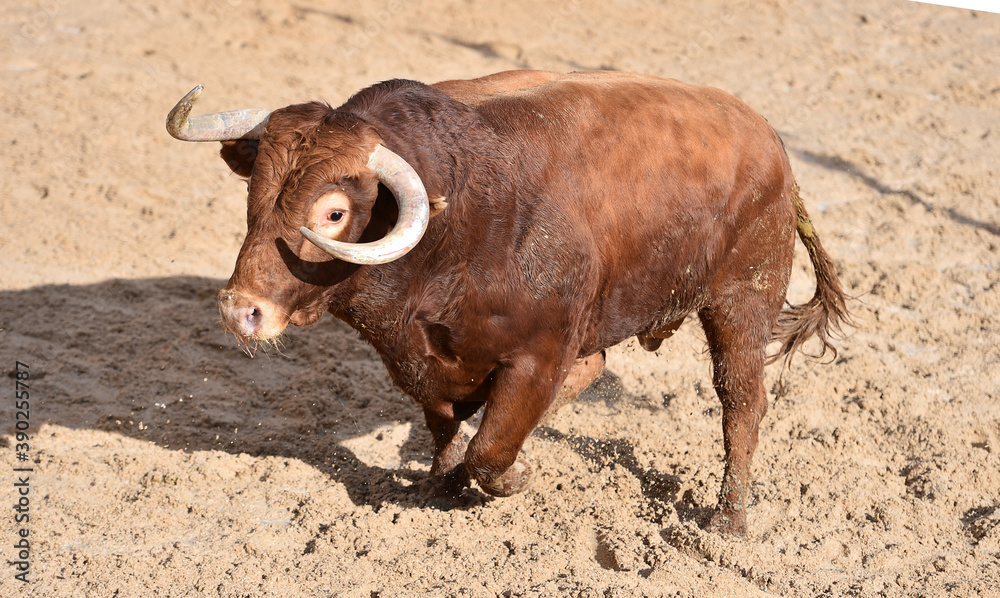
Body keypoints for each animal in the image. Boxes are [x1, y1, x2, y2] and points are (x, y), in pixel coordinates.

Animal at [166, 70, 850, 536]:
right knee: (596, 369)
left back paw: (727, 521)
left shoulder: (536, 357)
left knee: (742, 402)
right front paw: (440, 489)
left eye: (333, 213)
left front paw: (513, 475)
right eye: (254, 193)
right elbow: (447, 427)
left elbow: (490, 450)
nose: (240, 310)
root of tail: (768, 141)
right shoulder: (419, 359)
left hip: (741, 300)